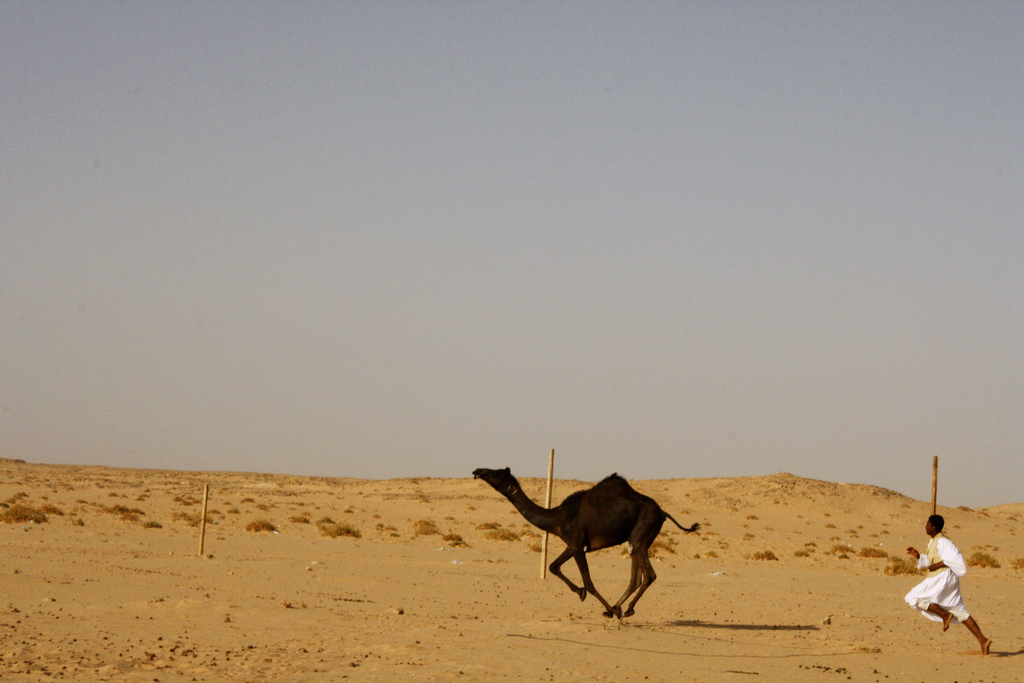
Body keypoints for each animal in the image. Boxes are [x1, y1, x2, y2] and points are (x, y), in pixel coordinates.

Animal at [473, 464, 700, 618]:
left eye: (494, 473)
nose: (477, 470)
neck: (557, 518)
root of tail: (662, 512)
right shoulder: (572, 544)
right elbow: (553, 567)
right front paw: (582, 594)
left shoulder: (577, 546)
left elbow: (589, 583)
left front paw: (603, 606)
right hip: (638, 541)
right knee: (641, 577)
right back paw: (622, 608)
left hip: (640, 536)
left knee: (646, 575)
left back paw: (621, 609)